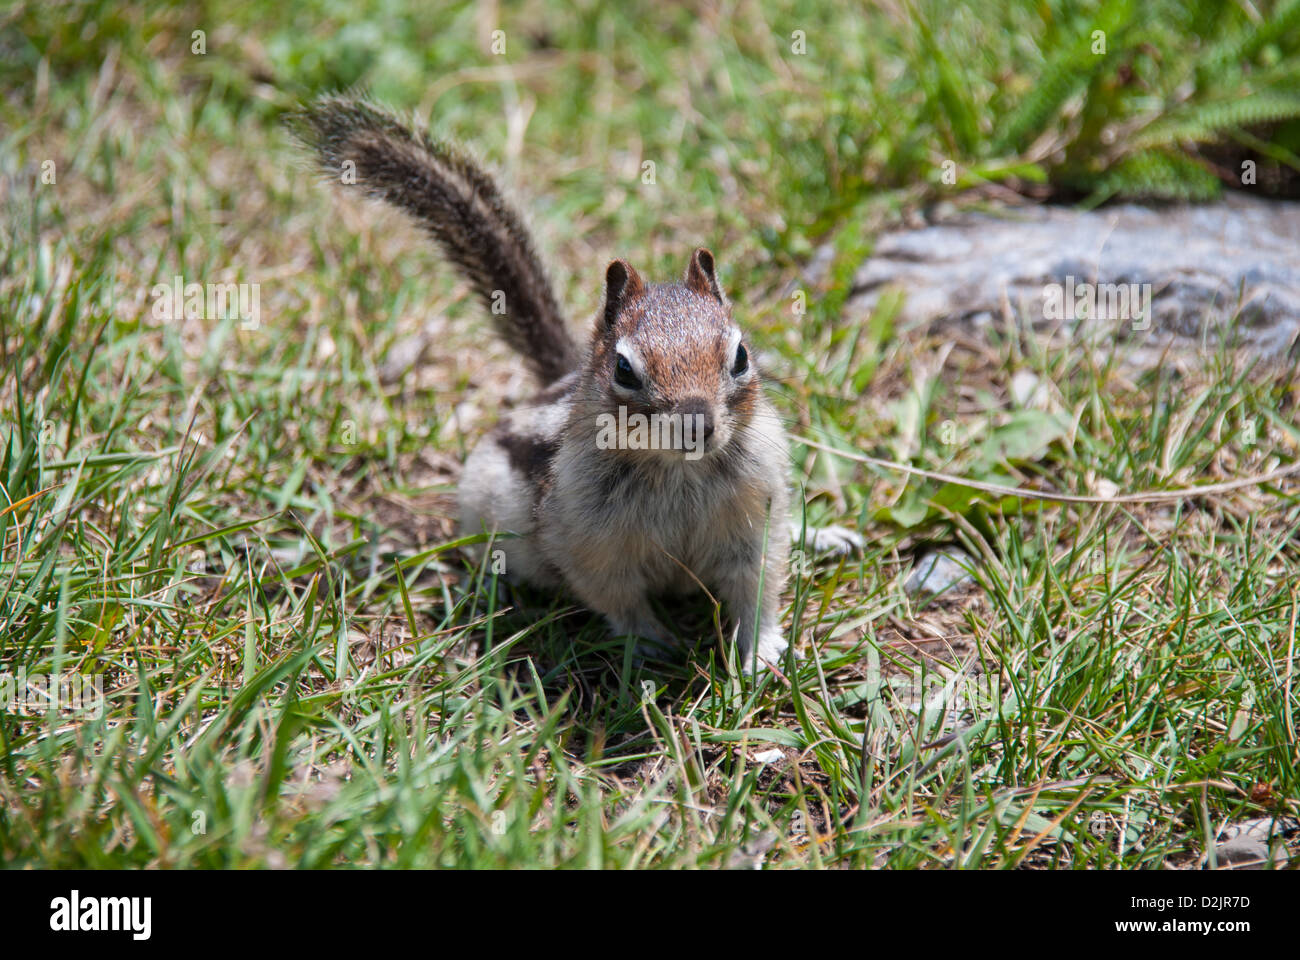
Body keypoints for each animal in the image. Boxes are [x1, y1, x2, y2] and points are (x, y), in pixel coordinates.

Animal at [292, 94, 863, 670]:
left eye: (740, 356)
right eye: (624, 370)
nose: (696, 425)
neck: (677, 470)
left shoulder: (755, 521)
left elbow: (758, 589)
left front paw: (761, 652)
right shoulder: (589, 548)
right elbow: (620, 600)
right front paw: (654, 644)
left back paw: (827, 537)